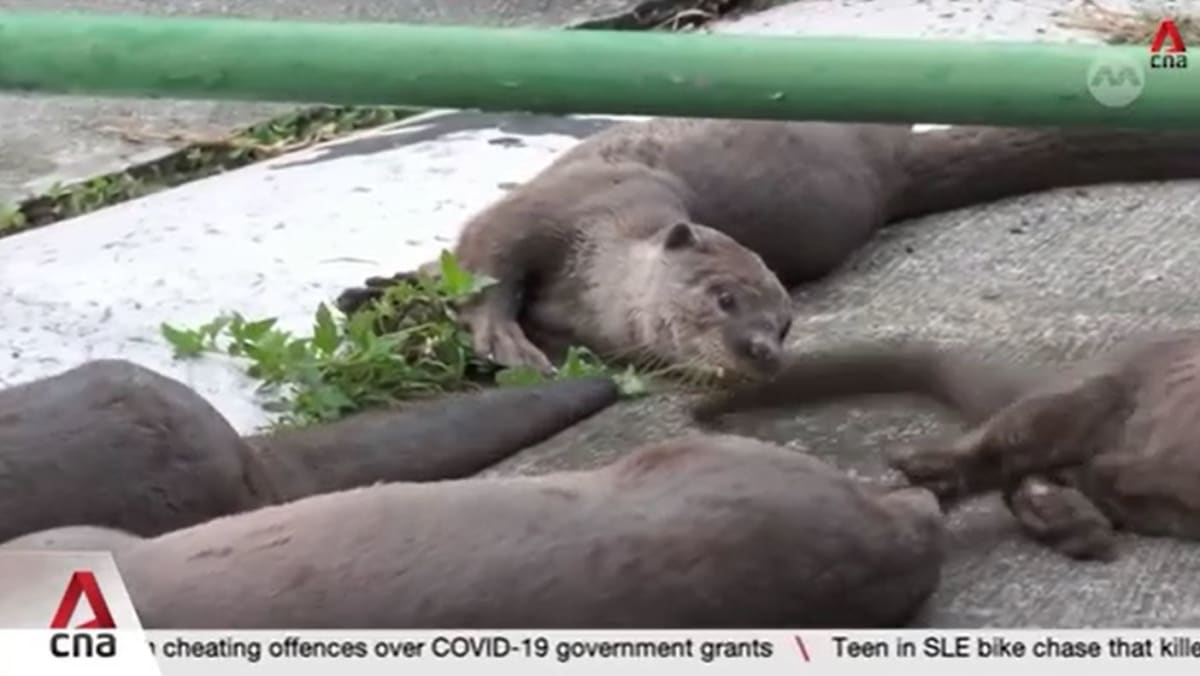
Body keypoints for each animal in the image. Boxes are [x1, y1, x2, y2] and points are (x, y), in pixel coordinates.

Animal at [338, 119, 1200, 379]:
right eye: (724, 298)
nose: (764, 352)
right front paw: (505, 343)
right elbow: (484, 262)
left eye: (786, 325)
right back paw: (368, 294)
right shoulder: (562, 207)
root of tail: (890, 163)